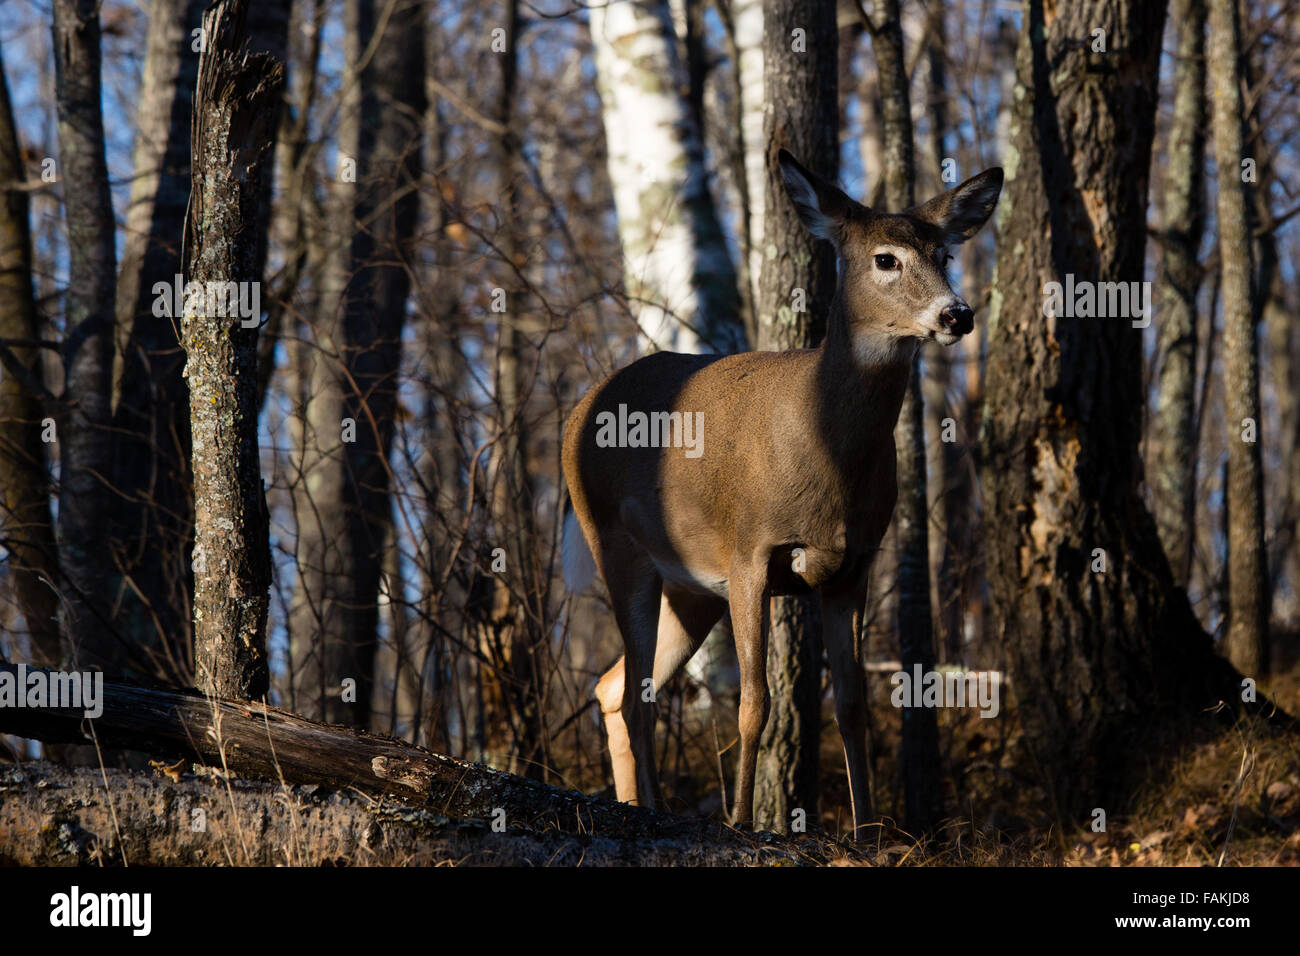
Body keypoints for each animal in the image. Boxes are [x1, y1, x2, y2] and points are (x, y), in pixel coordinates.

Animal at [560, 149, 1003, 836]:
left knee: (615, 685)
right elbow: (754, 702)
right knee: (635, 694)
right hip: (615, 542)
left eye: (946, 254)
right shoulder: (749, 551)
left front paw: (869, 832)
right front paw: (743, 822)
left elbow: (852, 706)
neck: (826, 456)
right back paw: (655, 810)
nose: (957, 314)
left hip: (691, 588)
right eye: (886, 259)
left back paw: (635, 804)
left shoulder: (854, 565)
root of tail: (575, 413)